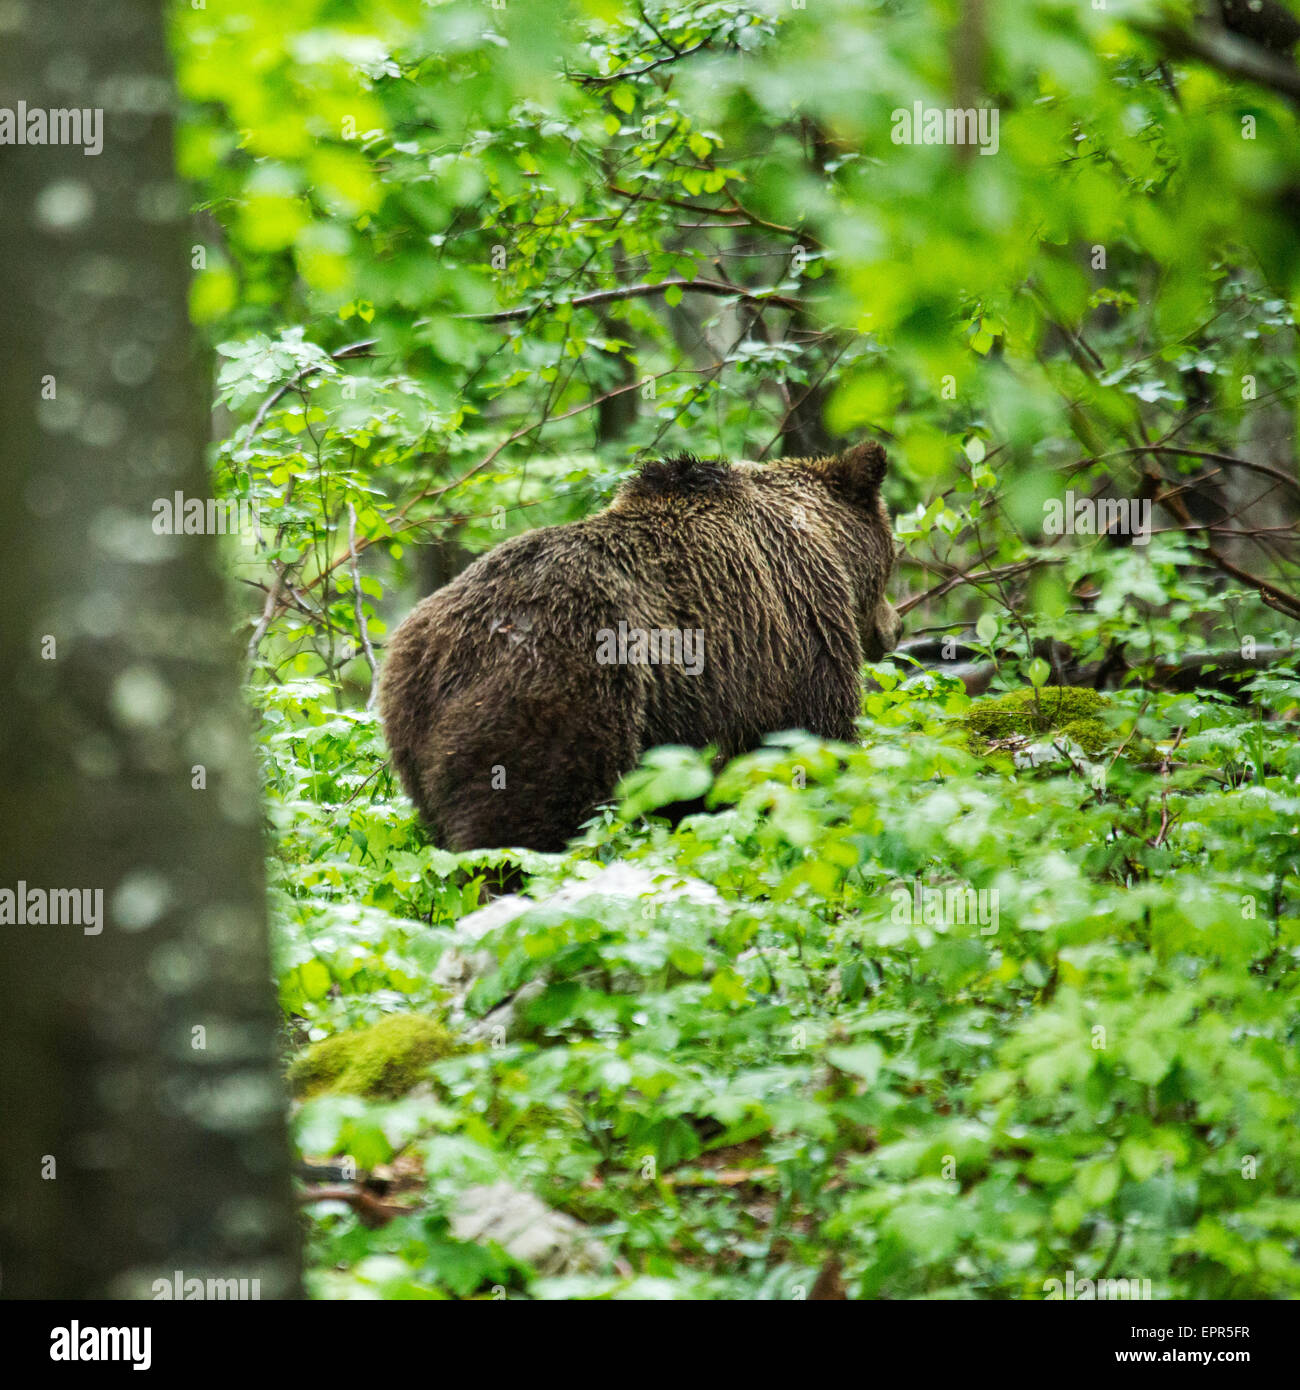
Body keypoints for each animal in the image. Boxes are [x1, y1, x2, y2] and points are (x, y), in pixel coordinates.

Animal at [379, 441, 901, 852]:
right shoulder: (798, 634)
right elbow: (811, 745)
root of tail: (440, 651)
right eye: (894, 553)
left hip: (413, 736)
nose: (893, 628)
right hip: (559, 698)